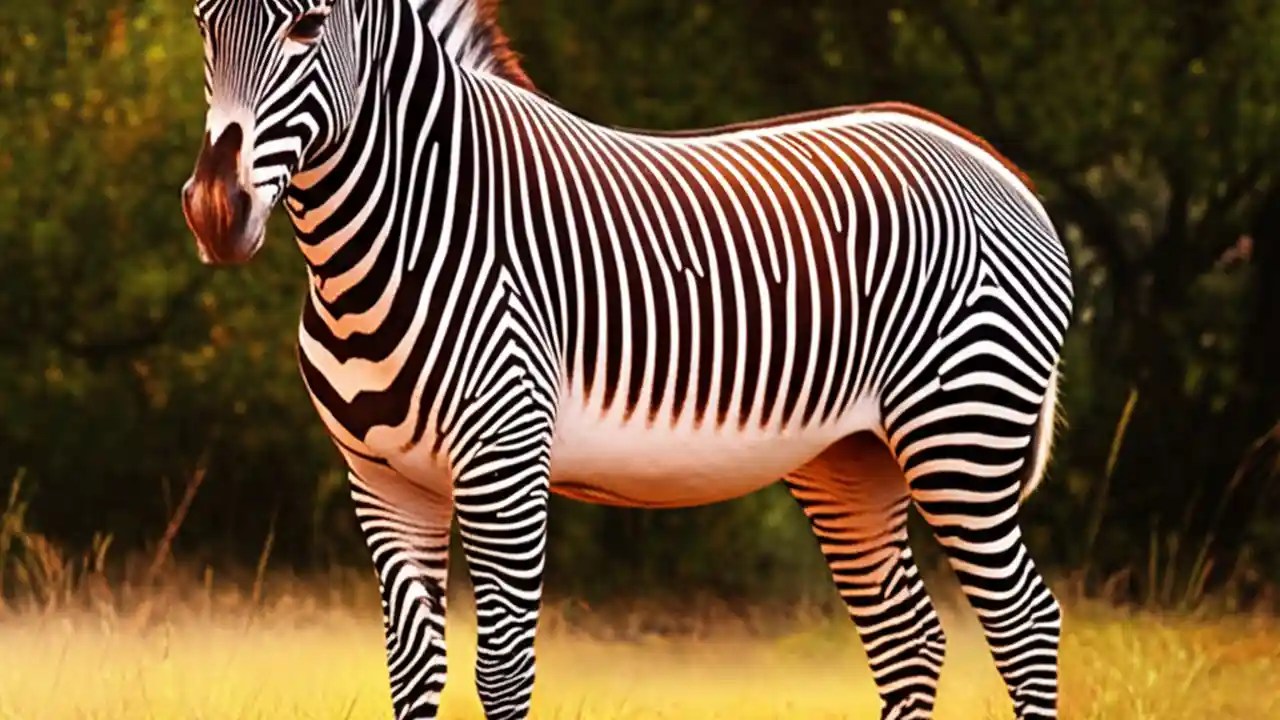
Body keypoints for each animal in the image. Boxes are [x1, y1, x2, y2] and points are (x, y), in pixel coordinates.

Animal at [179, 1, 1074, 718]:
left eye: (308, 23)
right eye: (200, 20)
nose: (216, 211)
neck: (392, 241)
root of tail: (992, 162)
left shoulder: (504, 464)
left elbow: (502, 671)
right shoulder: (384, 481)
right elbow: (413, 673)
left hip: (961, 434)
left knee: (1025, 624)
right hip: (849, 460)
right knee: (908, 639)